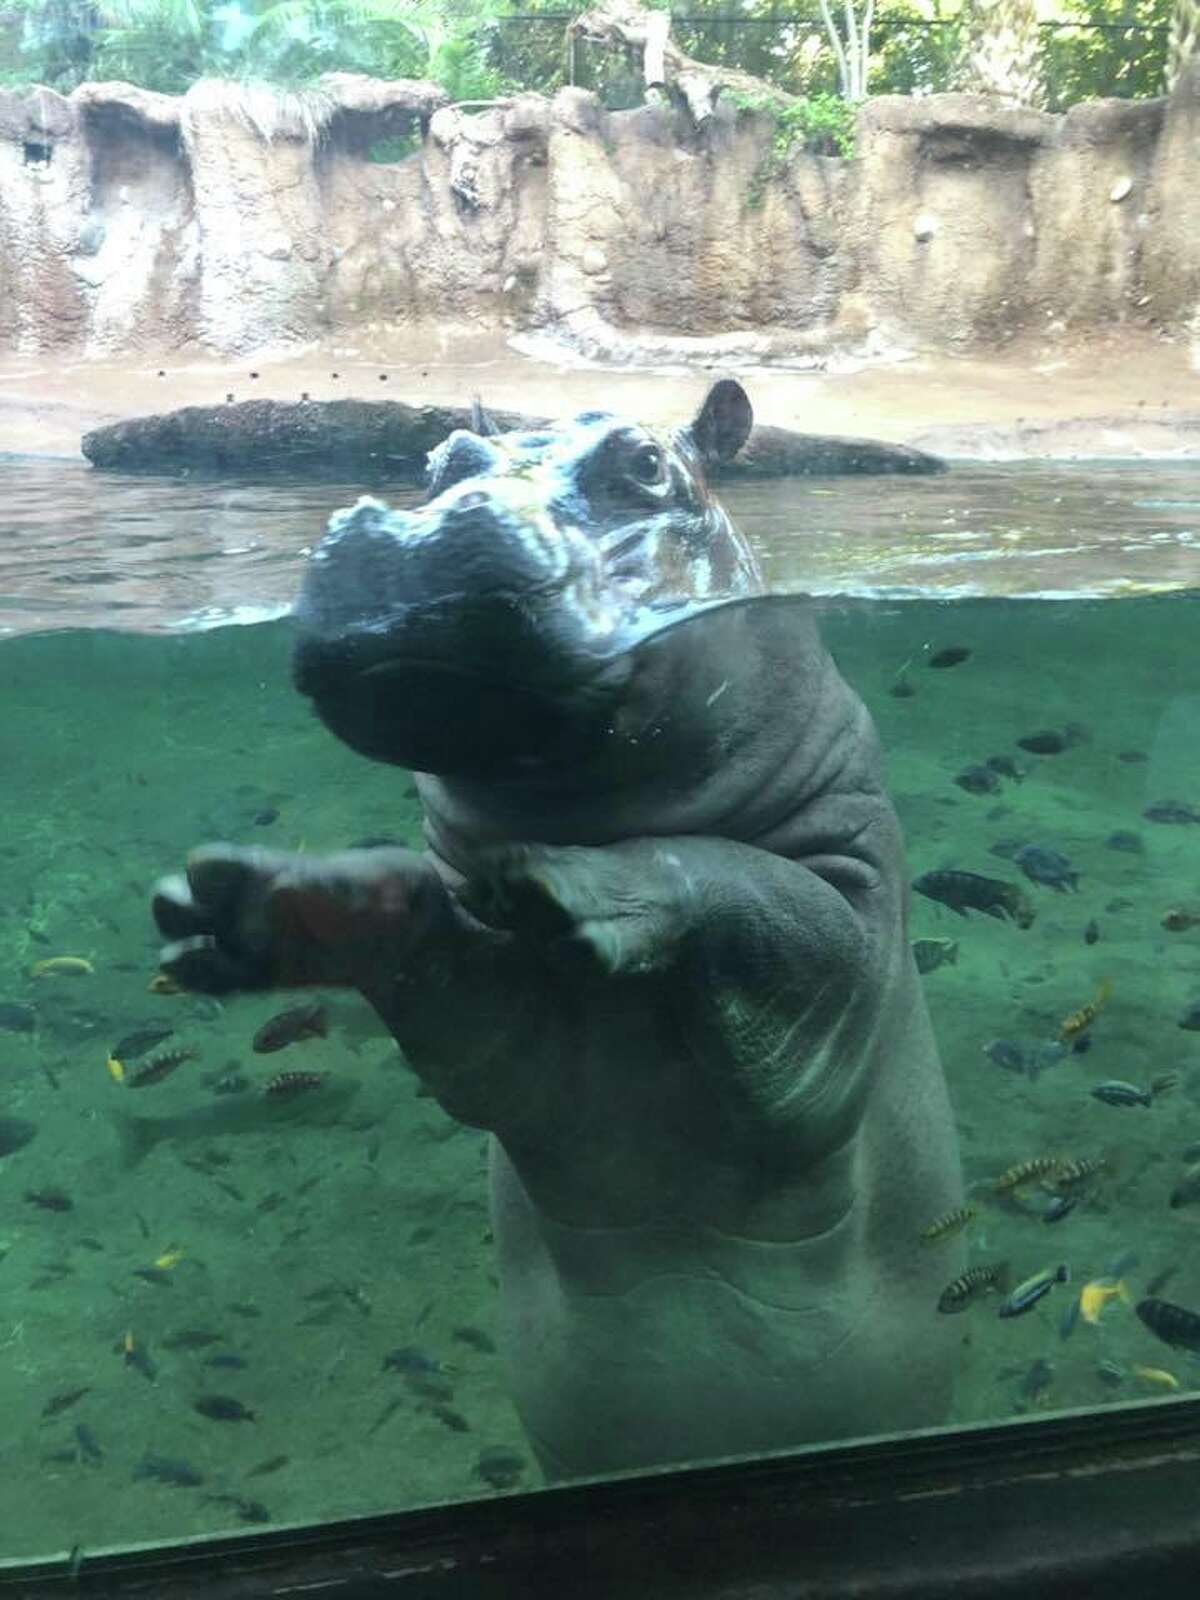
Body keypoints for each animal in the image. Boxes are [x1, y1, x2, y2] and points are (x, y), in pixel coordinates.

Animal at [152, 380, 965, 1482]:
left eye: (647, 464)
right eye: (436, 461)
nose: (420, 529)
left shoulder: (850, 943)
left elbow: (751, 887)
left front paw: (574, 885)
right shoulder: (515, 1057)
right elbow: (442, 952)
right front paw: (261, 898)